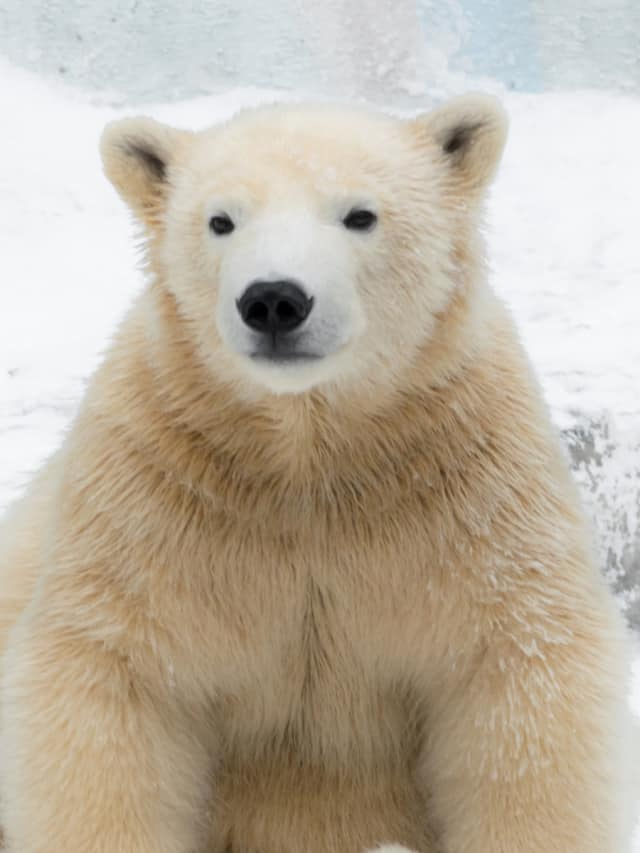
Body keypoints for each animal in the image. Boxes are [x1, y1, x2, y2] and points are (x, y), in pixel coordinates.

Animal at [0, 94, 636, 853]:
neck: (308, 451)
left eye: (360, 215)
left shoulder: (467, 487)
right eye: (220, 220)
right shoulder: (159, 489)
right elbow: (116, 676)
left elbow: (518, 677)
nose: (274, 299)